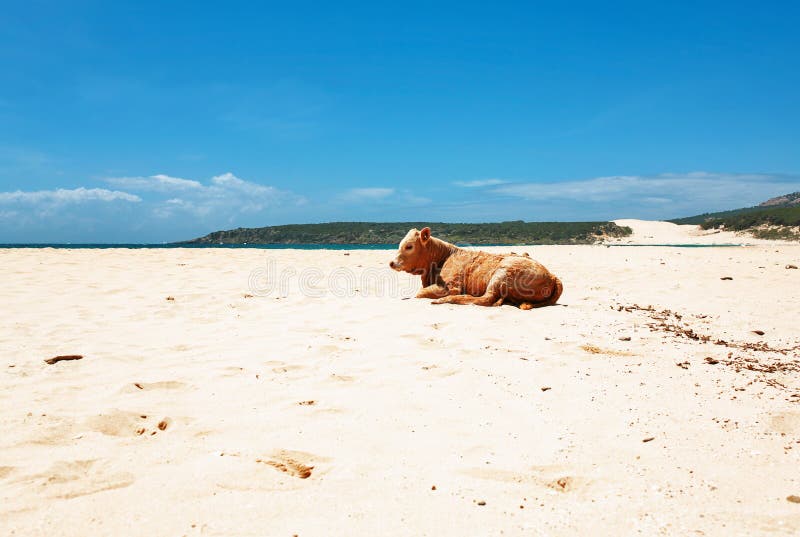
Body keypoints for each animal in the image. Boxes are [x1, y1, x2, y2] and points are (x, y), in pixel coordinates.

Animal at [389, 227, 563, 309]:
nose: (391, 263)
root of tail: (552, 276)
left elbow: (420, 293)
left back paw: (447, 300)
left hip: (502, 273)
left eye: (409, 246)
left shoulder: (451, 286)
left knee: (486, 299)